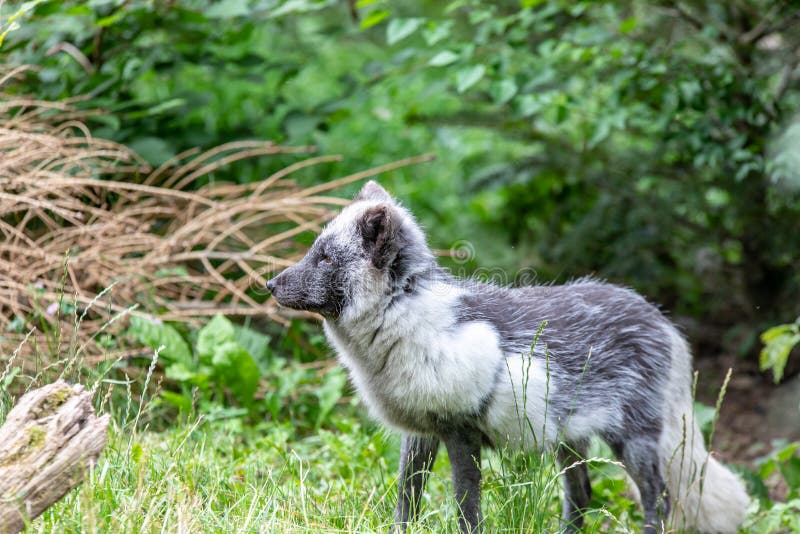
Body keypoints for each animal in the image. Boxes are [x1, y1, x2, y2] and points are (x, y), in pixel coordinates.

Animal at [266, 181, 750, 534]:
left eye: (327, 259)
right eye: (314, 251)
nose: (269, 284)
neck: (409, 319)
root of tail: (663, 322)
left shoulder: (460, 432)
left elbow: (467, 509)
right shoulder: (420, 433)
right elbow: (408, 501)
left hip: (634, 441)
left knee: (659, 501)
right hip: (569, 441)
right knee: (582, 496)